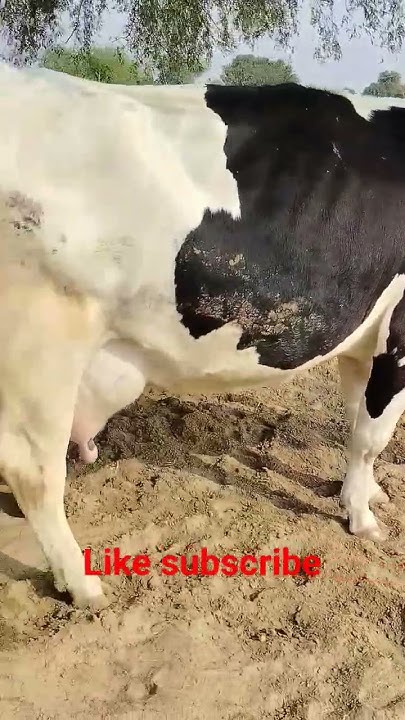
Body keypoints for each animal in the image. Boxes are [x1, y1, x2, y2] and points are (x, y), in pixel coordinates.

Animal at [1, 61, 405, 609]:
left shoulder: (365, 336)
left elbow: (356, 413)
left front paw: (365, 493)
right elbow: (370, 435)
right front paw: (362, 518)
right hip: (42, 349)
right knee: (34, 471)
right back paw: (84, 586)